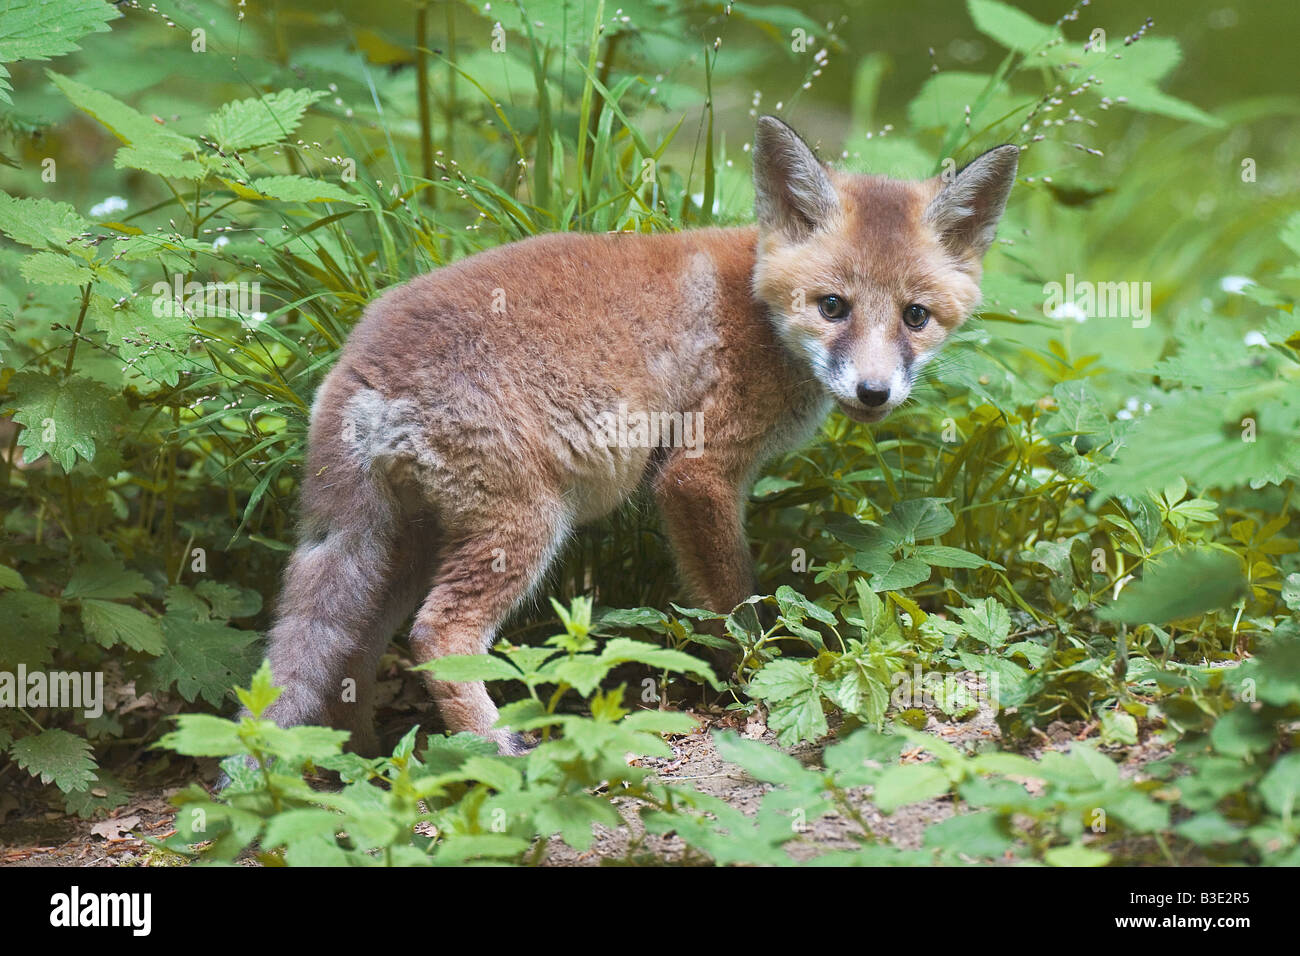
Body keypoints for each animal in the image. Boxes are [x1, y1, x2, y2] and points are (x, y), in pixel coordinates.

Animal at [256, 116, 1018, 755]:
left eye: (916, 316)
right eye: (833, 306)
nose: (873, 393)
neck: (757, 307)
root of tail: (359, 360)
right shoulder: (695, 476)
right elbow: (735, 609)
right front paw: (757, 677)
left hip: (403, 544)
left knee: (350, 653)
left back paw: (359, 759)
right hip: (525, 525)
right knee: (436, 632)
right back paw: (495, 746)